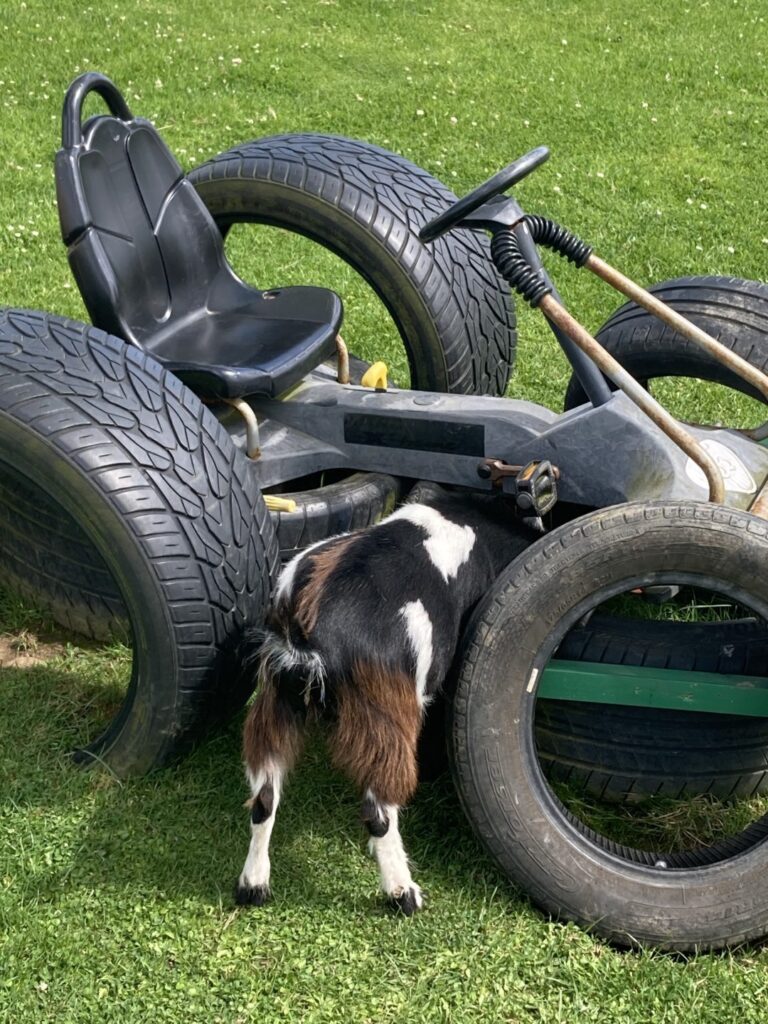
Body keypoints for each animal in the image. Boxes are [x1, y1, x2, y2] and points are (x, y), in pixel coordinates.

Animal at [235, 487, 536, 914]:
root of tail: (312, 627)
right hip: (385, 713)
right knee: (378, 807)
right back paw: (403, 893)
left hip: (277, 699)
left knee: (264, 796)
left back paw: (253, 885)